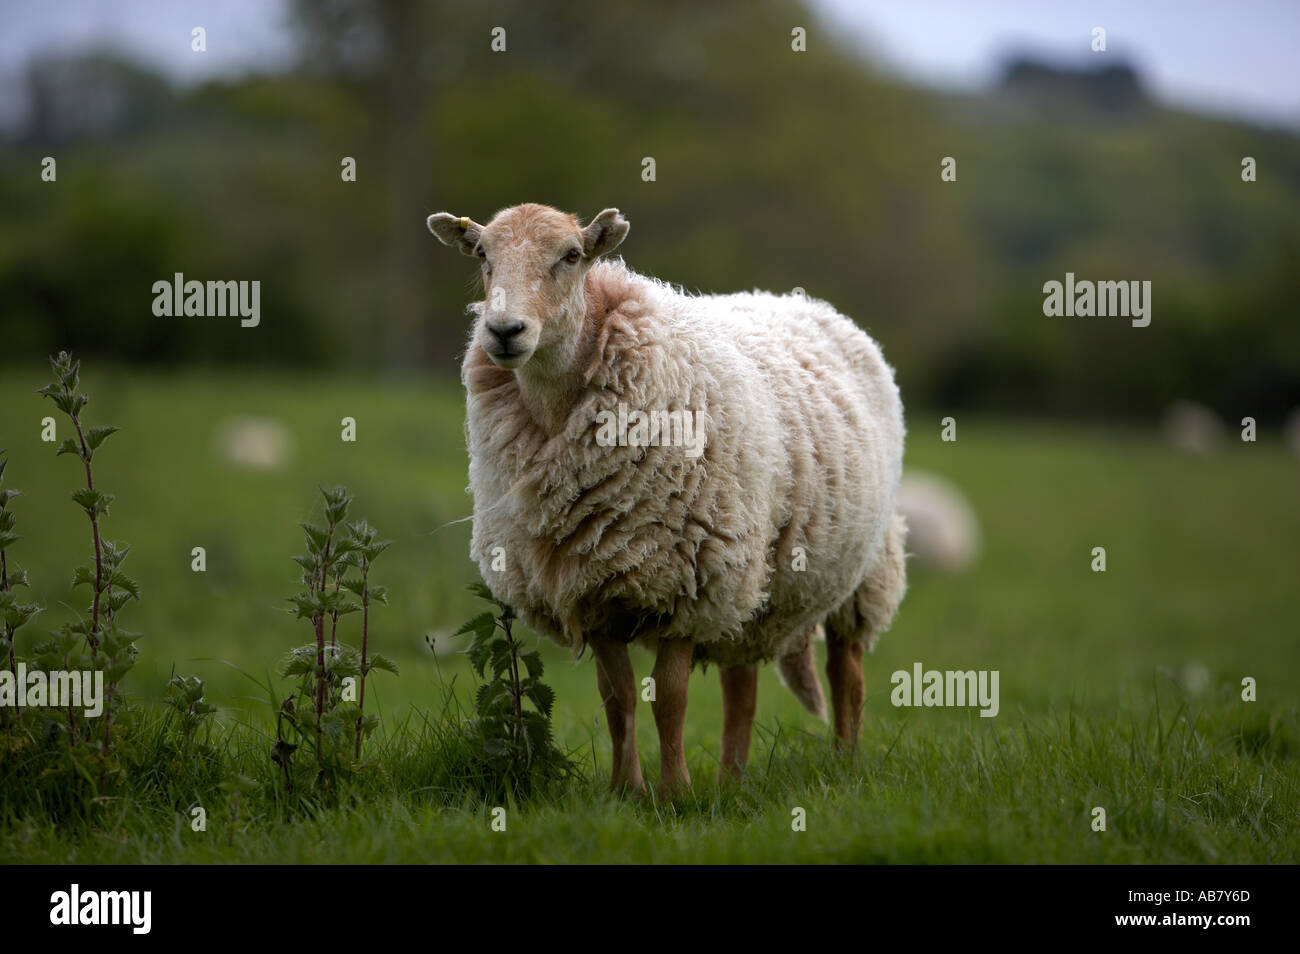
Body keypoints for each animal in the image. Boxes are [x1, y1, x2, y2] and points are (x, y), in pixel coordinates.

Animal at [427, 203, 907, 795]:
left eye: (571, 255)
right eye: (482, 255)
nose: (503, 331)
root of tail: (802, 302)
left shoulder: (687, 582)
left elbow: (671, 701)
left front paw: (674, 792)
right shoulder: (594, 586)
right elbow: (618, 701)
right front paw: (625, 791)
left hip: (860, 569)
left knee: (847, 673)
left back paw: (843, 761)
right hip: (747, 574)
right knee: (740, 686)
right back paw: (730, 781)